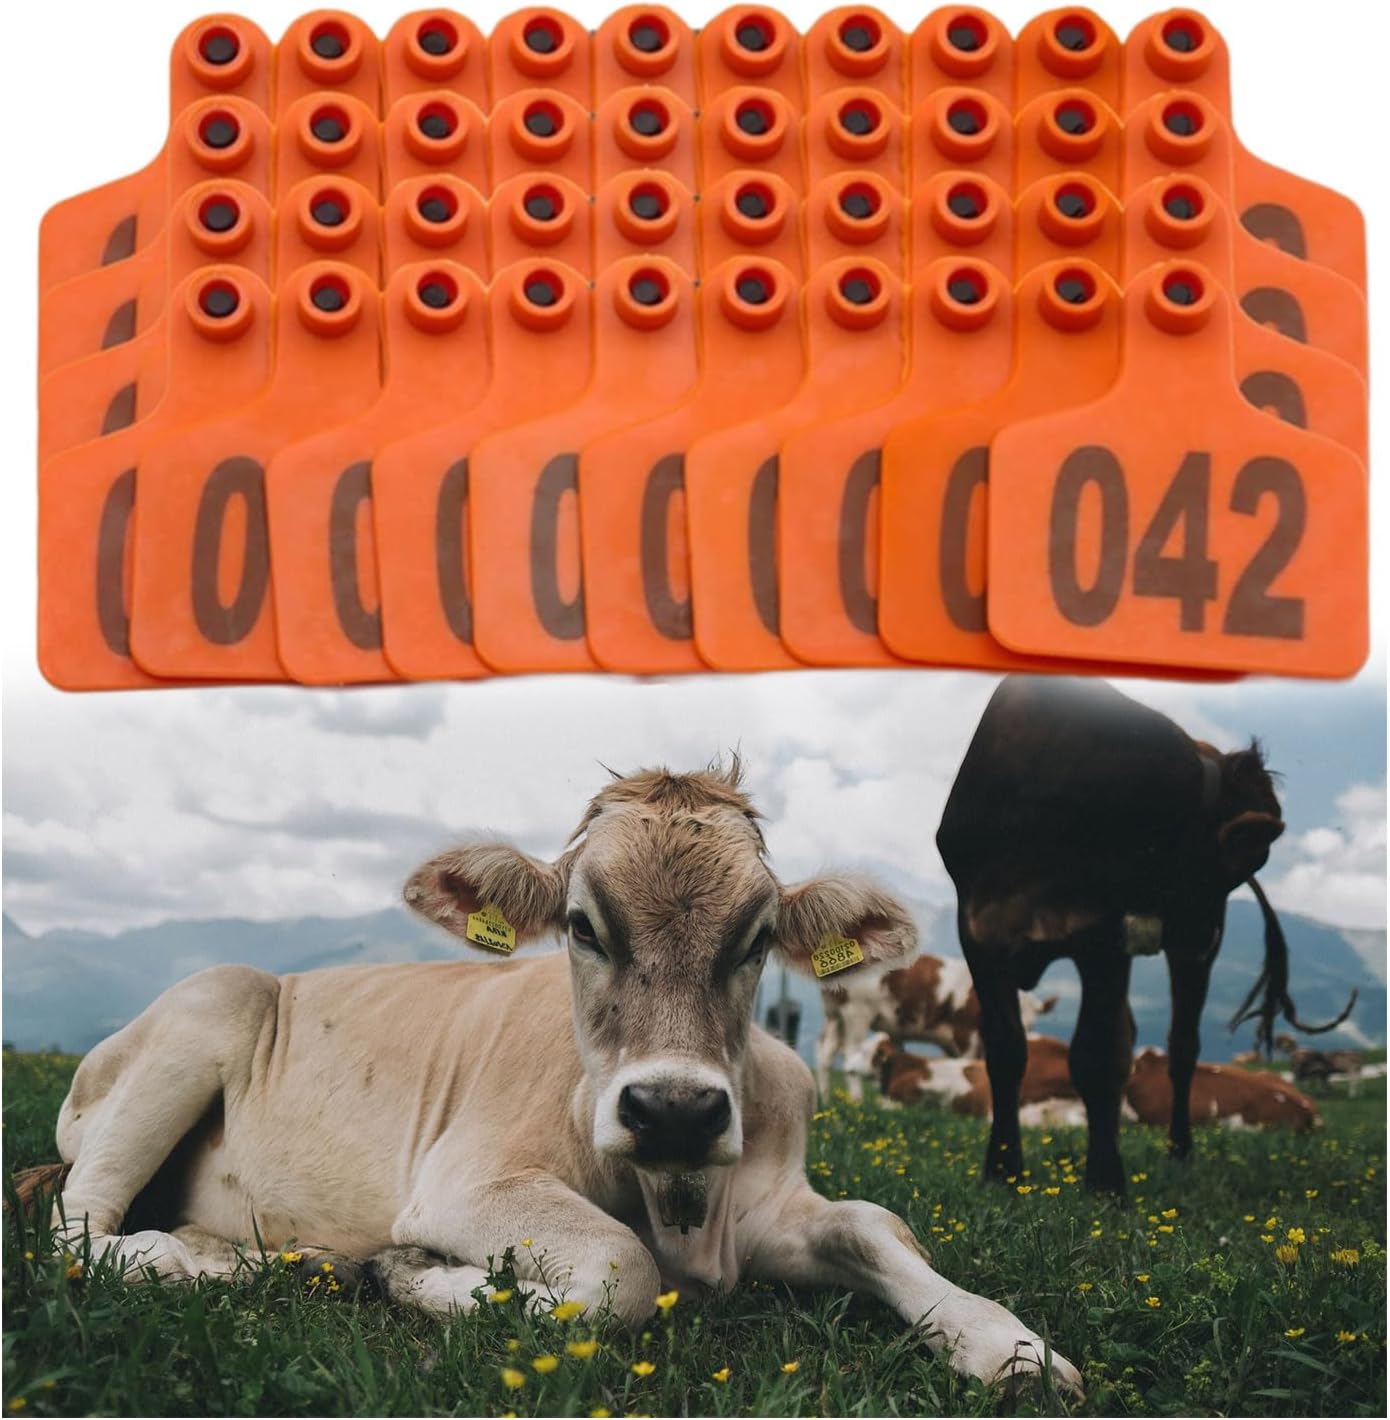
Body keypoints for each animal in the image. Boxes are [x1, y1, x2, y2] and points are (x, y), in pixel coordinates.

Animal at [814, 952, 1058, 1100]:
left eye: (1030, 1023)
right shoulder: (964, 1033)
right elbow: (966, 1063)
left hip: (834, 1016)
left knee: (826, 1053)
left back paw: (825, 1098)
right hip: (856, 1013)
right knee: (849, 1055)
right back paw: (856, 1100)